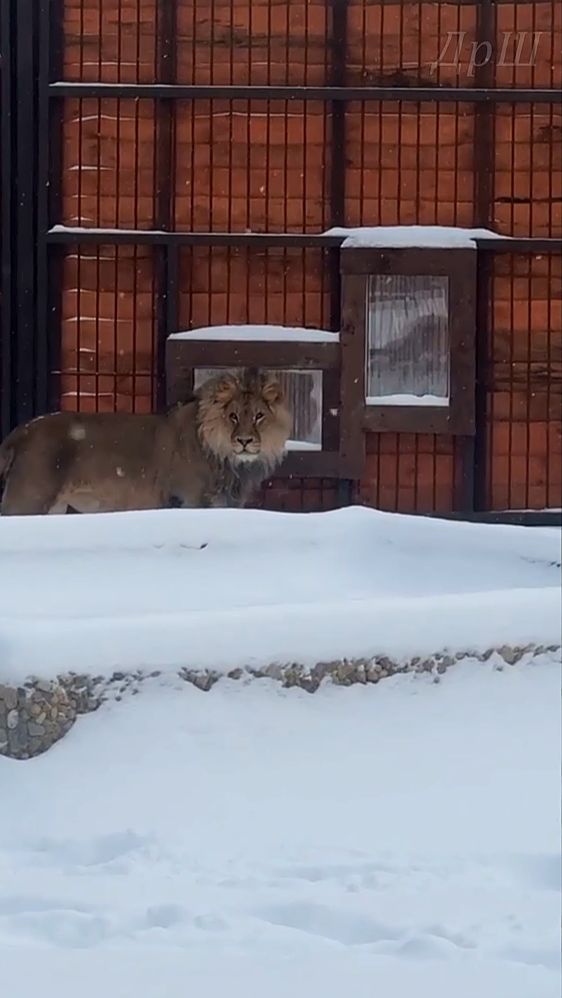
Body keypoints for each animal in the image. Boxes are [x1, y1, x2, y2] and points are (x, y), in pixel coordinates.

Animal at [0, 368, 291, 515]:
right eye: (233, 416)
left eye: (259, 416)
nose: (244, 441)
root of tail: (20, 431)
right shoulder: (190, 502)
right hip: (28, 500)